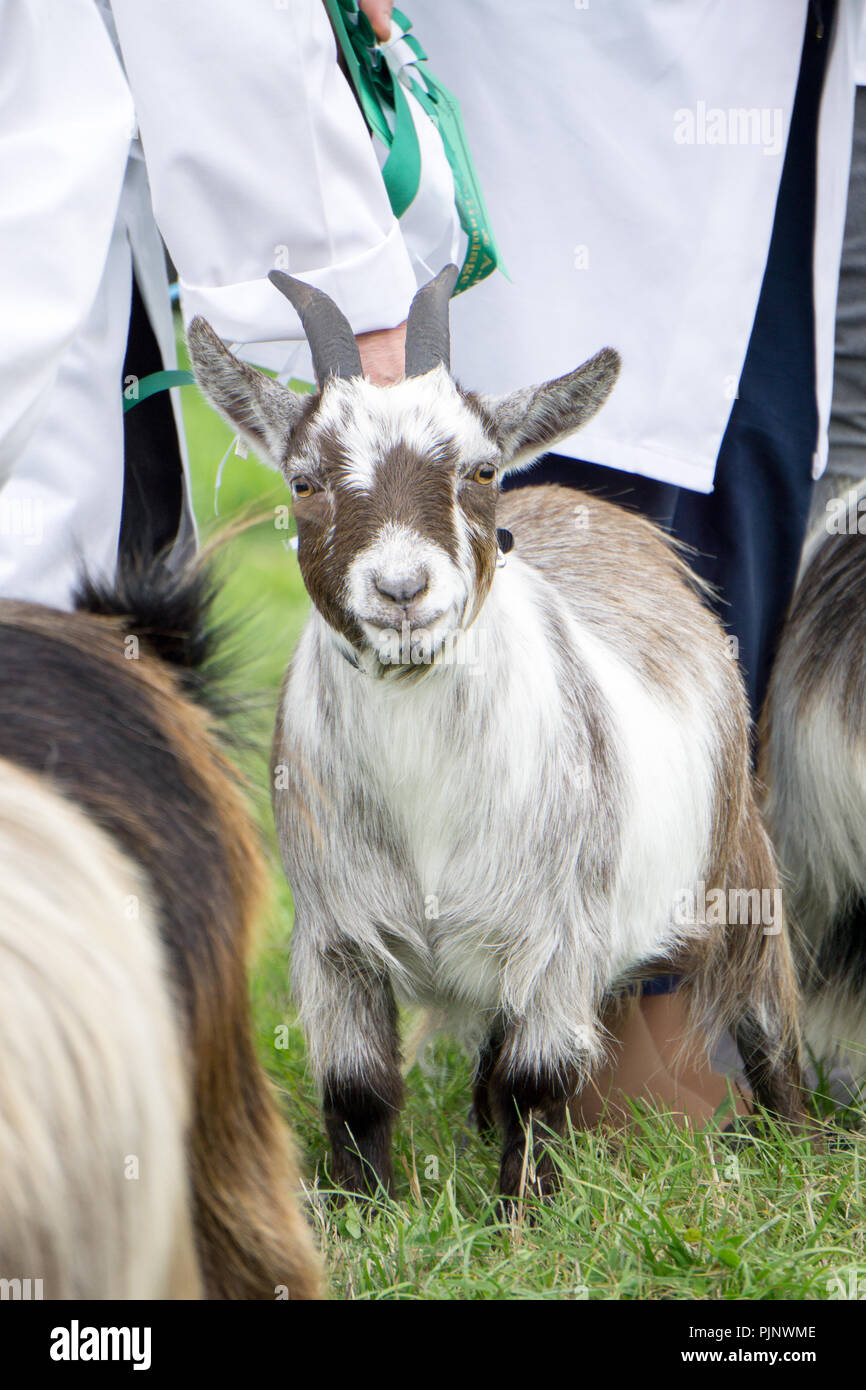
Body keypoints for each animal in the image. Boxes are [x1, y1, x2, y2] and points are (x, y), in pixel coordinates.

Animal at [189, 265, 805, 1201]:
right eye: (303, 481)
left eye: (478, 469)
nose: (402, 589)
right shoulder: (335, 939)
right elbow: (357, 1088)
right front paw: (367, 1212)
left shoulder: (558, 935)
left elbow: (536, 1083)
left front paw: (523, 1214)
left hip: (737, 862)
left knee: (766, 1009)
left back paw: (804, 1138)